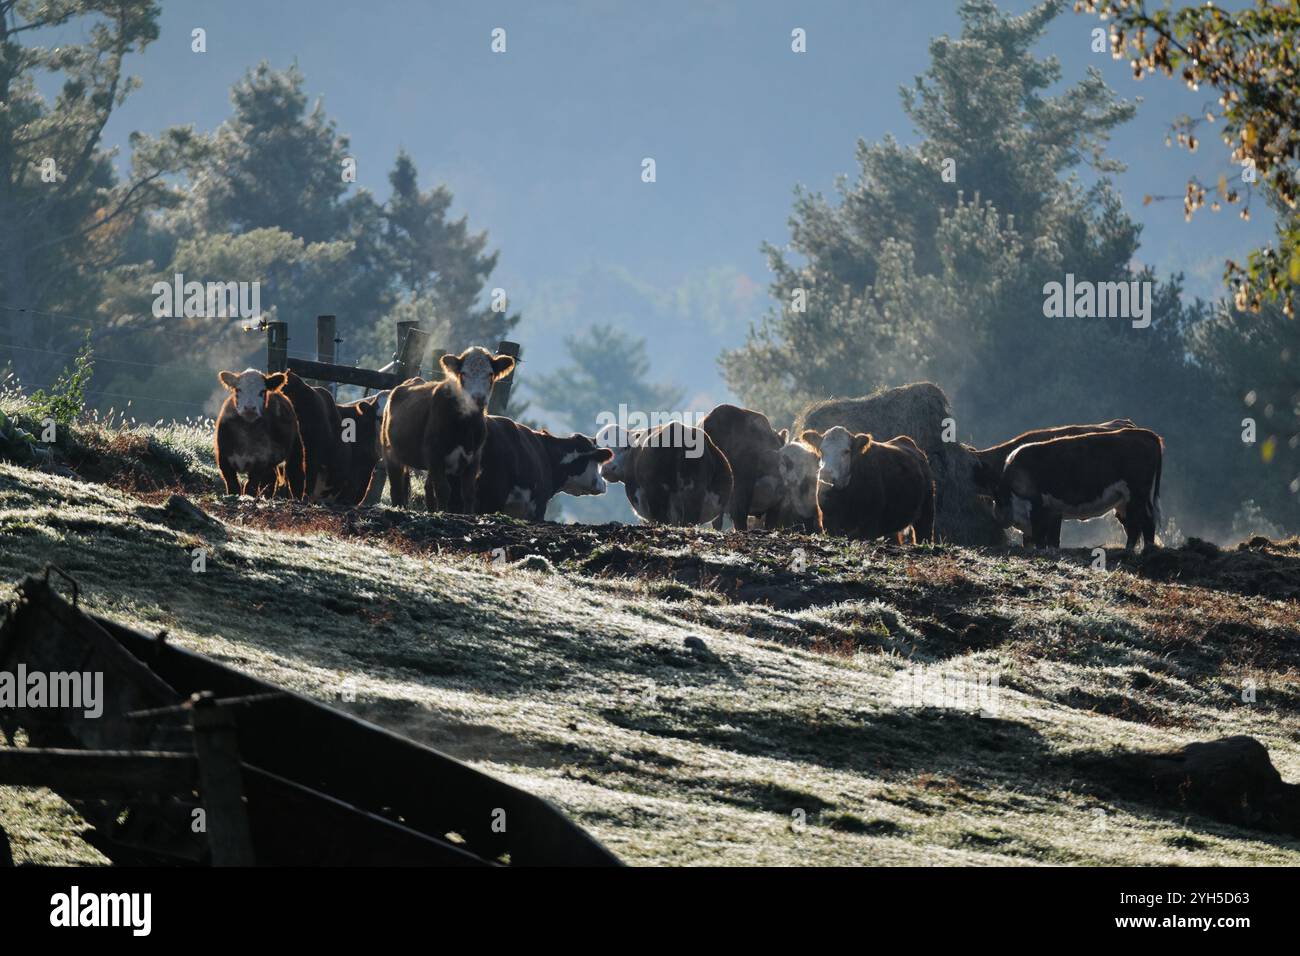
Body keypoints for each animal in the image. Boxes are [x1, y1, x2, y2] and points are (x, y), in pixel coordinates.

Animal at [214, 369, 306, 498]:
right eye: (238, 389)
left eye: (262, 391)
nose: (249, 408)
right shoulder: (223, 458)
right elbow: (233, 484)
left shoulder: (260, 460)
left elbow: (250, 486)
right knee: (271, 478)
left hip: (295, 445)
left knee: (296, 474)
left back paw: (297, 499)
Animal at [380, 349, 514, 512]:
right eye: (463, 373)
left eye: (490, 374)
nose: (478, 398)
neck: (466, 426)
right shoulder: (434, 453)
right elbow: (444, 489)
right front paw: (443, 512)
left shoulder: (474, 457)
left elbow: (468, 492)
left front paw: (467, 514)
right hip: (390, 452)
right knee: (396, 487)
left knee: (426, 487)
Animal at [801, 426, 936, 544]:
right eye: (821, 450)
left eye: (846, 451)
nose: (825, 473)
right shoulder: (829, 521)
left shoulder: (870, 524)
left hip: (926, 511)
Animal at [994, 427, 1163, 552]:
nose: (998, 518)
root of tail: (1145, 434)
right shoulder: (1053, 511)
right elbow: (1053, 538)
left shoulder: (1036, 507)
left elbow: (1040, 535)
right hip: (1127, 501)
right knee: (1138, 524)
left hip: (1137, 495)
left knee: (1142, 522)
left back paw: (1135, 550)